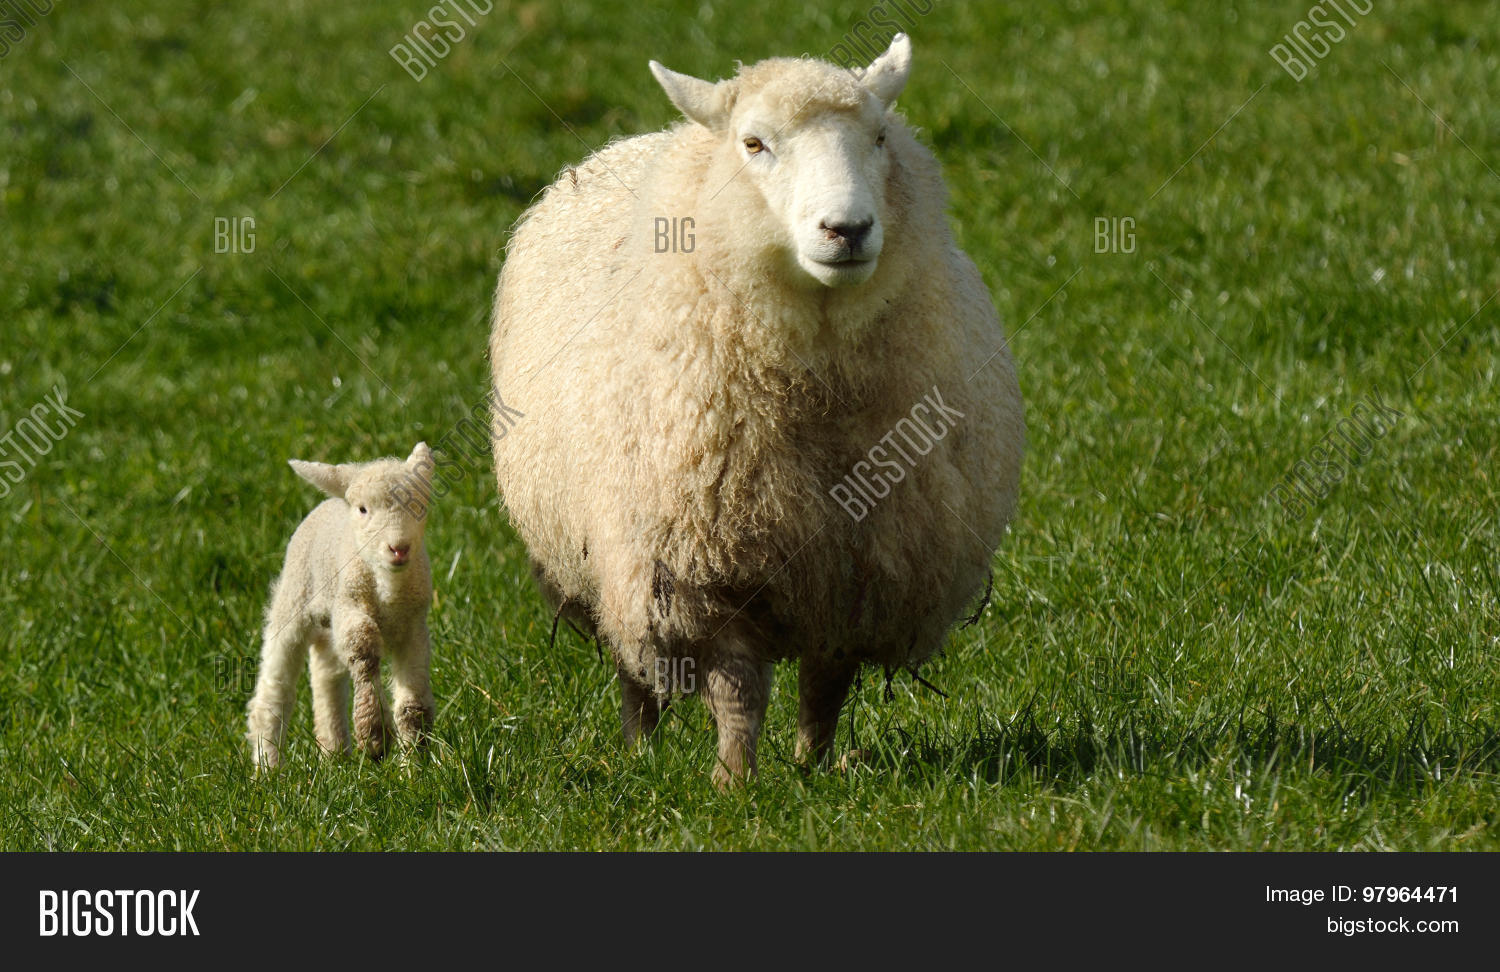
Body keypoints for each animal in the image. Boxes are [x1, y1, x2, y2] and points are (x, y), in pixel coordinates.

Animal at [246, 443, 437, 769]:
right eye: (363, 509)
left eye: (419, 506)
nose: (399, 548)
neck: (388, 589)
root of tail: (328, 502)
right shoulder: (349, 606)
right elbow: (364, 648)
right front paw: (374, 735)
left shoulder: (414, 627)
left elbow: (411, 708)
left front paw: (414, 768)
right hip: (294, 598)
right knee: (275, 690)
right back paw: (269, 768)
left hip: (328, 624)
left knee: (326, 675)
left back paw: (333, 751)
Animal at [488, 34, 1024, 786]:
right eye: (754, 144)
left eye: (880, 136)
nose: (848, 229)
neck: (818, 385)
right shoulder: (701, 574)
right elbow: (737, 692)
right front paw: (734, 783)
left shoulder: (863, 565)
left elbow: (826, 684)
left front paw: (812, 767)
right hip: (608, 557)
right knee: (633, 671)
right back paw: (638, 753)